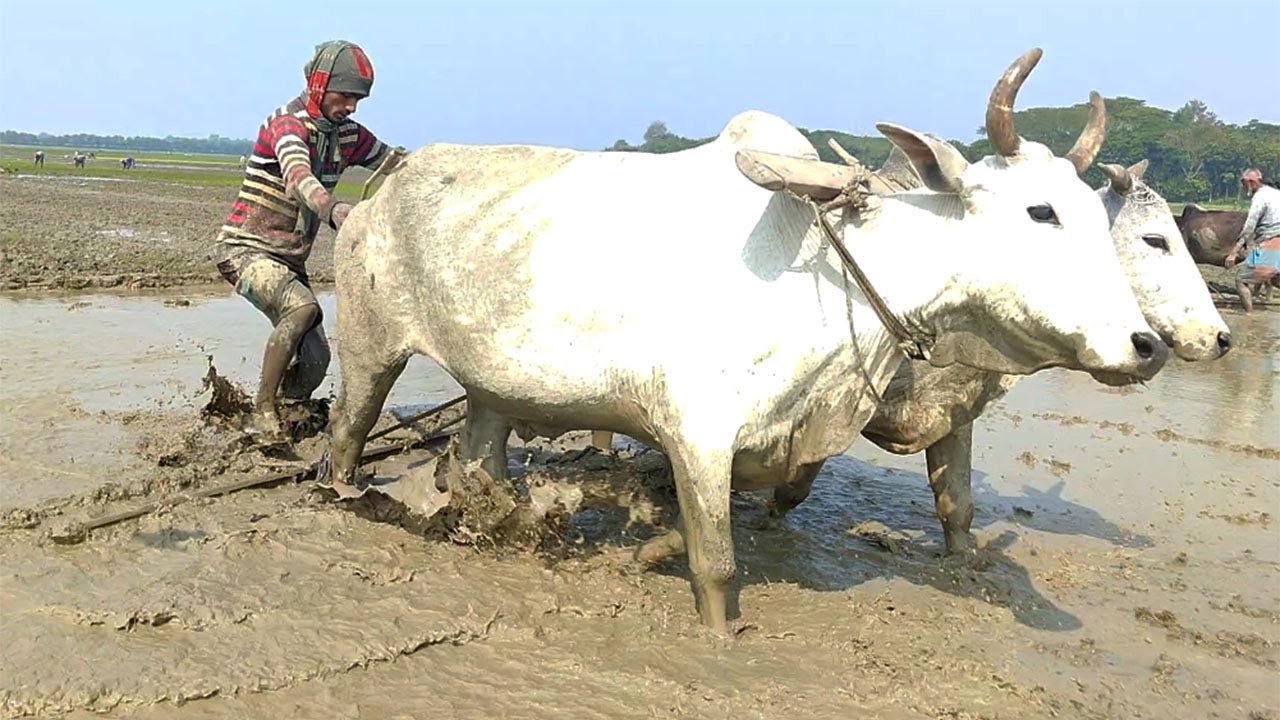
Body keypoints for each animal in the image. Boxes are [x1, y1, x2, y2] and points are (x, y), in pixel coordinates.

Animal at [323, 49, 1168, 631]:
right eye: (1040, 212)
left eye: (1095, 217)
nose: (1146, 345)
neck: (834, 274)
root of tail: (381, 189)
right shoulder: (699, 432)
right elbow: (718, 564)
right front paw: (721, 633)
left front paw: (643, 551)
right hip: (370, 346)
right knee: (347, 431)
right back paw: (345, 495)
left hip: (492, 386)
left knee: (479, 458)